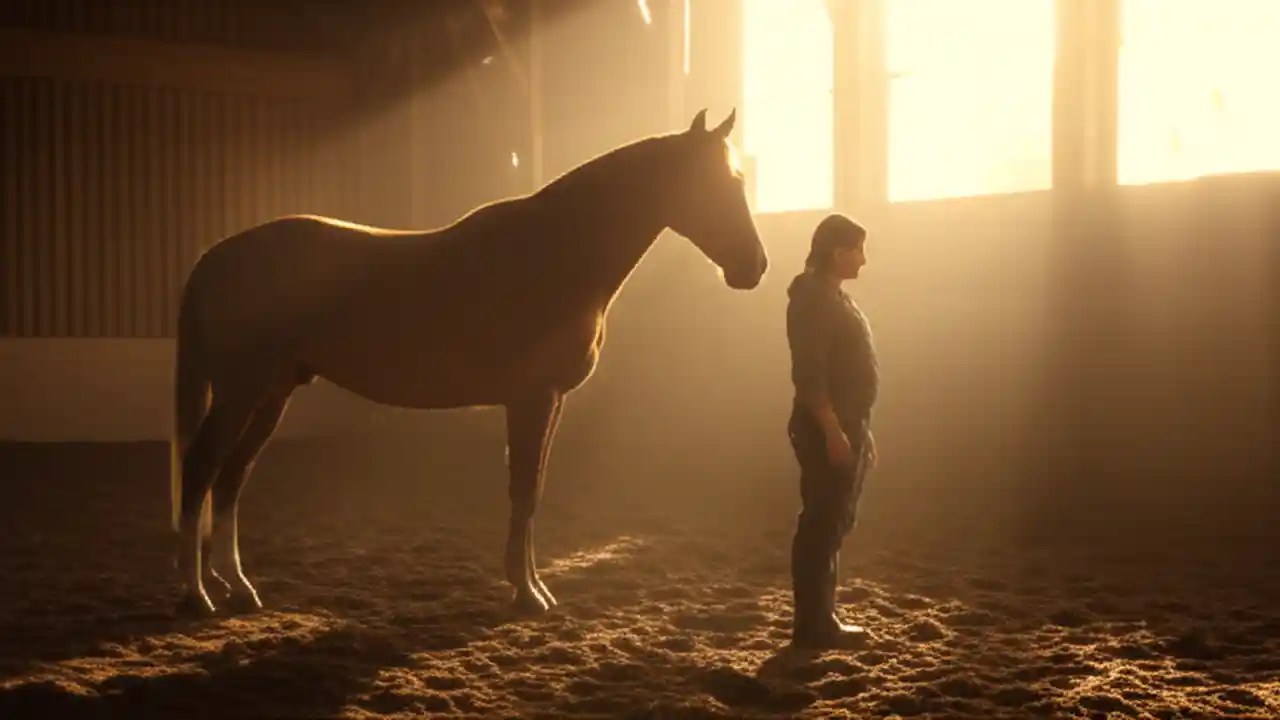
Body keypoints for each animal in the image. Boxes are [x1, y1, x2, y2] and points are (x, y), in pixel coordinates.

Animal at [171, 109, 767, 617]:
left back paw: (236, 586)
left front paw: (533, 586)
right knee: (201, 470)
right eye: (720, 183)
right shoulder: (532, 398)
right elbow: (524, 491)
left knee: (231, 477)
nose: (754, 267)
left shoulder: (548, 401)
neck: (557, 252)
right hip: (241, 393)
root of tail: (216, 256)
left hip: (270, 395)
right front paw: (526, 594)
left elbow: (534, 490)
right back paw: (197, 595)